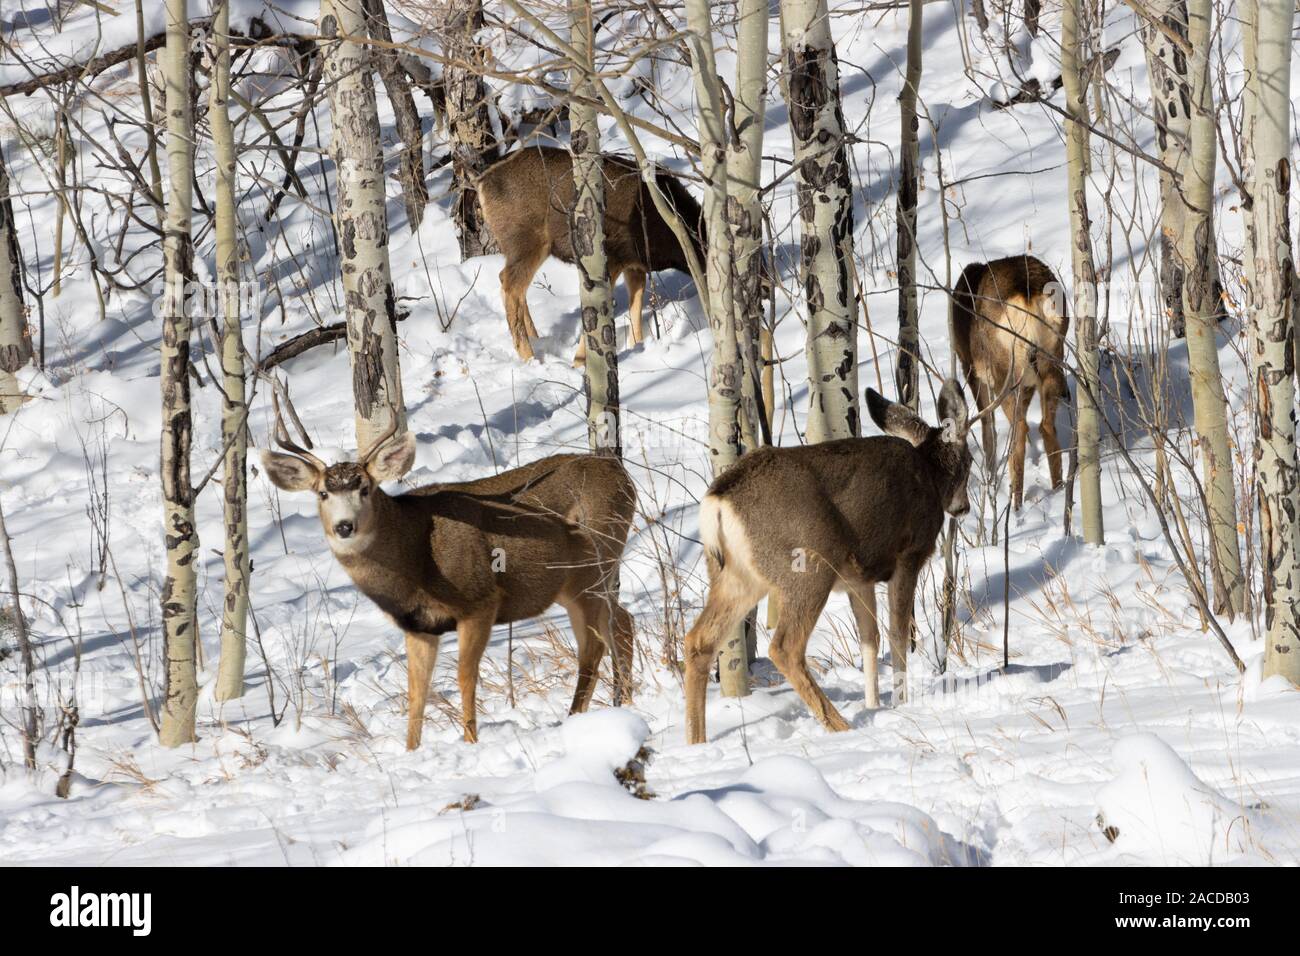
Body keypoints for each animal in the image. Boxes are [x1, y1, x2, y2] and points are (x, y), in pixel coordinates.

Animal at [260, 412, 637, 750]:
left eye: (365, 488)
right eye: (322, 493)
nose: (344, 526)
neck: (415, 560)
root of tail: (624, 477)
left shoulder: (480, 601)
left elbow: (464, 676)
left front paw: (470, 742)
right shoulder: (419, 626)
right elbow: (416, 691)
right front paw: (411, 752)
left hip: (592, 567)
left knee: (594, 647)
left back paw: (580, 717)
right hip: (579, 583)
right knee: (623, 622)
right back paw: (624, 704)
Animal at [475, 145, 705, 364]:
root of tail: (481, 182)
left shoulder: (634, 263)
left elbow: (636, 305)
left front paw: (637, 346)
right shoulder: (612, 256)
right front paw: (580, 363)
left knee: (513, 285)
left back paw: (537, 342)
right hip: (525, 238)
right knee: (510, 285)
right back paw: (529, 356)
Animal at [683, 379, 1003, 745]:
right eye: (970, 460)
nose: (962, 508)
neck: (930, 476)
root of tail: (717, 503)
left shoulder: (858, 578)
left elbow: (869, 639)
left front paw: (875, 705)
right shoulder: (907, 555)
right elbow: (897, 634)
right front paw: (900, 705)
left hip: (736, 576)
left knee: (698, 641)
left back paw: (695, 741)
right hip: (807, 568)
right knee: (785, 647)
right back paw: (839, 726)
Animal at [951, 254, 1069, 511]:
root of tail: (1028, 296)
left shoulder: (971, 369)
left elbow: (988, 429)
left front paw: (990, 477)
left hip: (1003, 371)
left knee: (1018, 431)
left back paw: (1015, 504)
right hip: (1052, 360)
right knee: (1046, 425)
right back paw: (1058, 491)